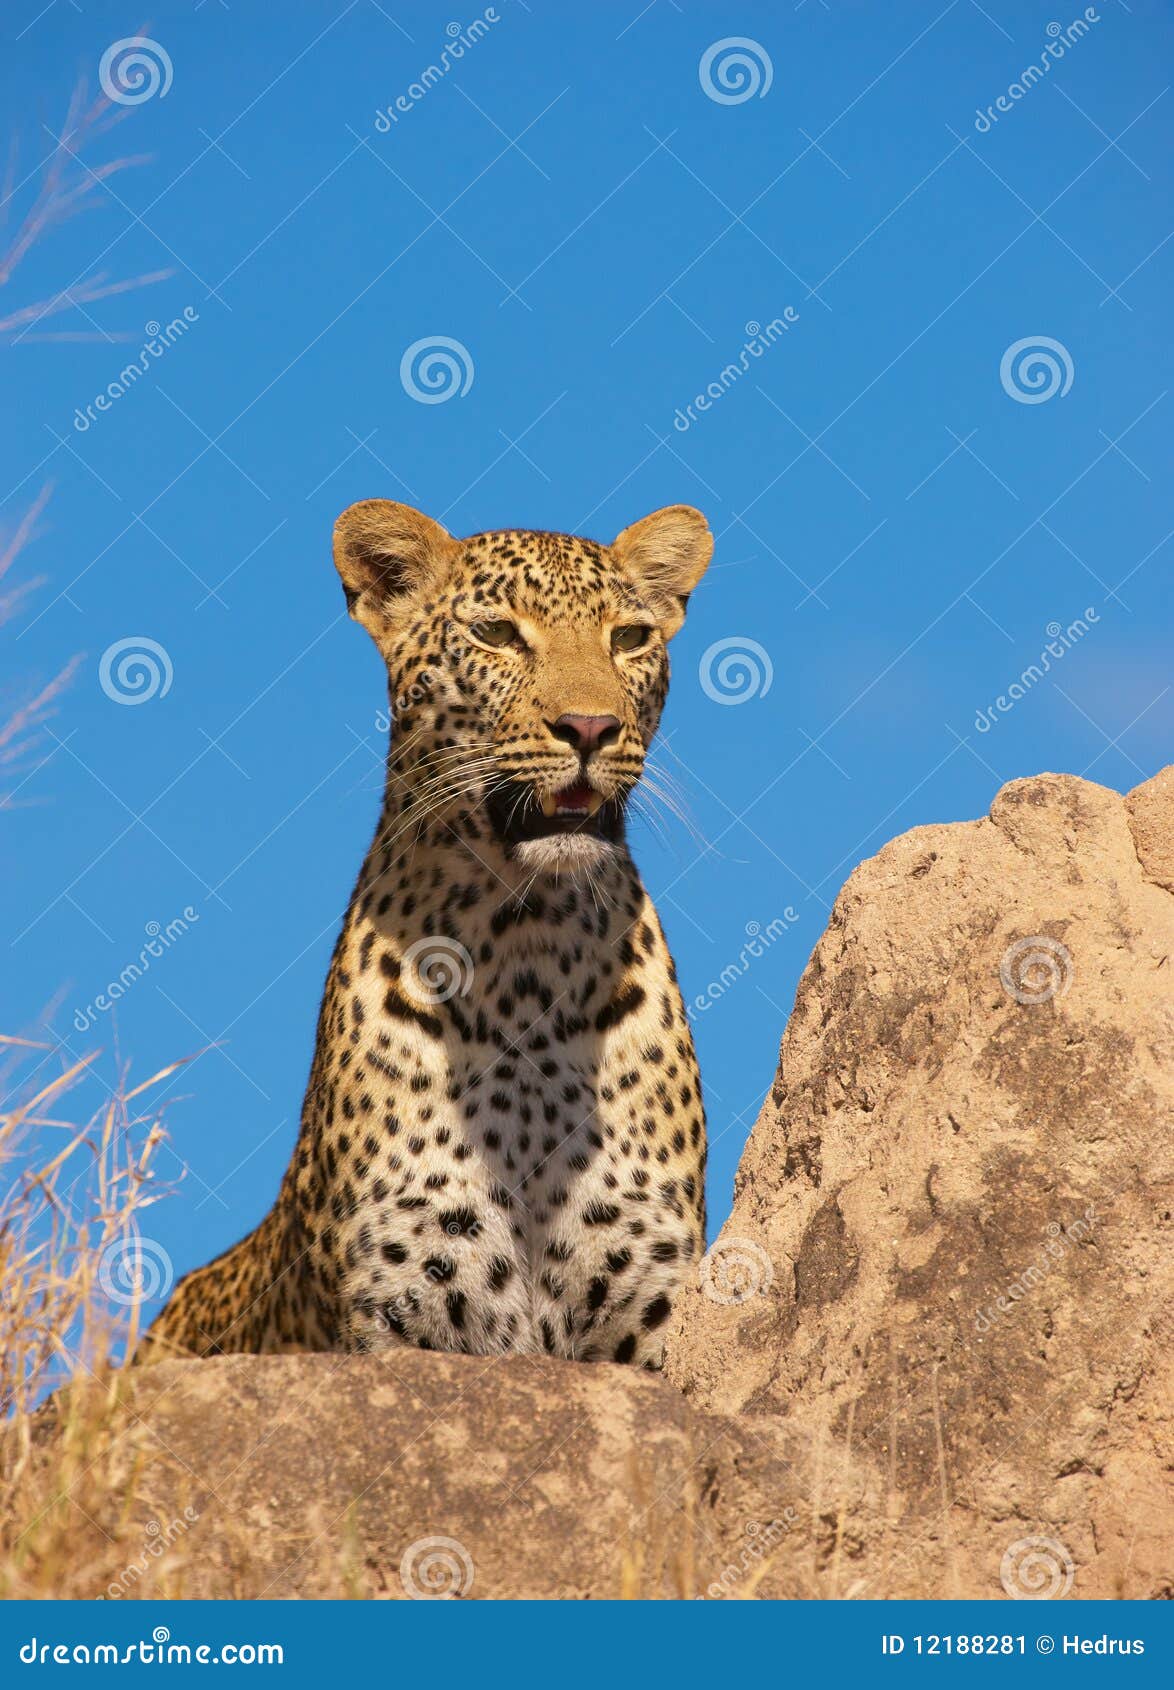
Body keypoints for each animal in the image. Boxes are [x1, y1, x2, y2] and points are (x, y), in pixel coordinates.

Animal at [146, 498, 712, 1368]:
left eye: (629, 638)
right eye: (497, 633)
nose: (591, 728)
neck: (529, 946)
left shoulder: (646, 1317)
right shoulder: (400, 1314)